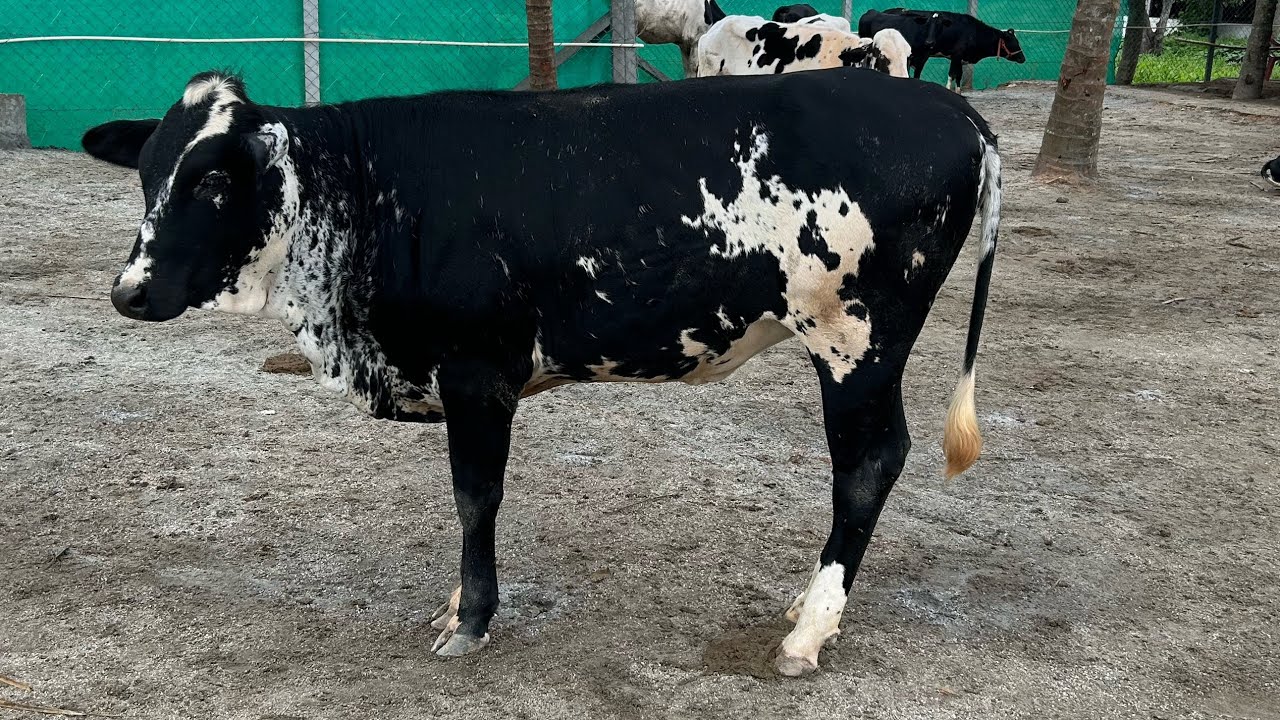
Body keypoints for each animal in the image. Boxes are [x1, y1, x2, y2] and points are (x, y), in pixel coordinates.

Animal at [81, 68, 1001, 676]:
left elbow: (474, 497)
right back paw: (808, 603)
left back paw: (810, 630)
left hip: (857, 339)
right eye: (148, 173)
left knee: (868, 464)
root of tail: (952, 107)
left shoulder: (477, 372)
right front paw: (459, 607)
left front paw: (471, 619)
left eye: (212, 181)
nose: (131, 291)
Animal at [859, 8, 1025, 91]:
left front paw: (958, 92)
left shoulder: (959, 58)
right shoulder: (956, 55)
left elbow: (958, 76)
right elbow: (952, 74)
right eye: (1013, 42)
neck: (972, 31)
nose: (1022, 58)